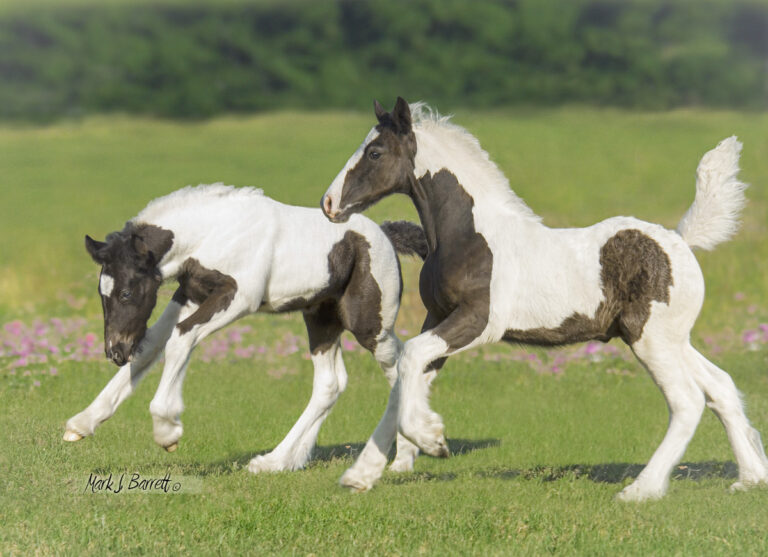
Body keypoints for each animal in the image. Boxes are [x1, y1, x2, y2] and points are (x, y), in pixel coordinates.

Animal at [63, 183, 430, 475]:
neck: (215, 232)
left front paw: (167, 430)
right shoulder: (192, 295)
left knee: (399, 366)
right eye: (102, 293)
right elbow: (152, 345)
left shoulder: (239, 298)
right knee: (330, 384)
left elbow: (180, 338)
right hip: (321, 320)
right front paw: (81, 423)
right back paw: (278, 461)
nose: (115, 351)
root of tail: (385, 234)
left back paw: (403, 459)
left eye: (126, 292)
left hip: (370, 326)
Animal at [320, 98, 768, 500]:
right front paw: (361, 474)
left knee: (687, 400)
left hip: (651, 339)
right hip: (671, 339)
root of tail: (679, 240)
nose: (328, 204)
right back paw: (750, 478)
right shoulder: (438, 318)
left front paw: (432, 439)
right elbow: (403, 380)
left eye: (375, 152)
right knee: (721, 386)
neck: (471, 236)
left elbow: (410, 357)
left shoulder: (479, 322)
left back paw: (641, 490)